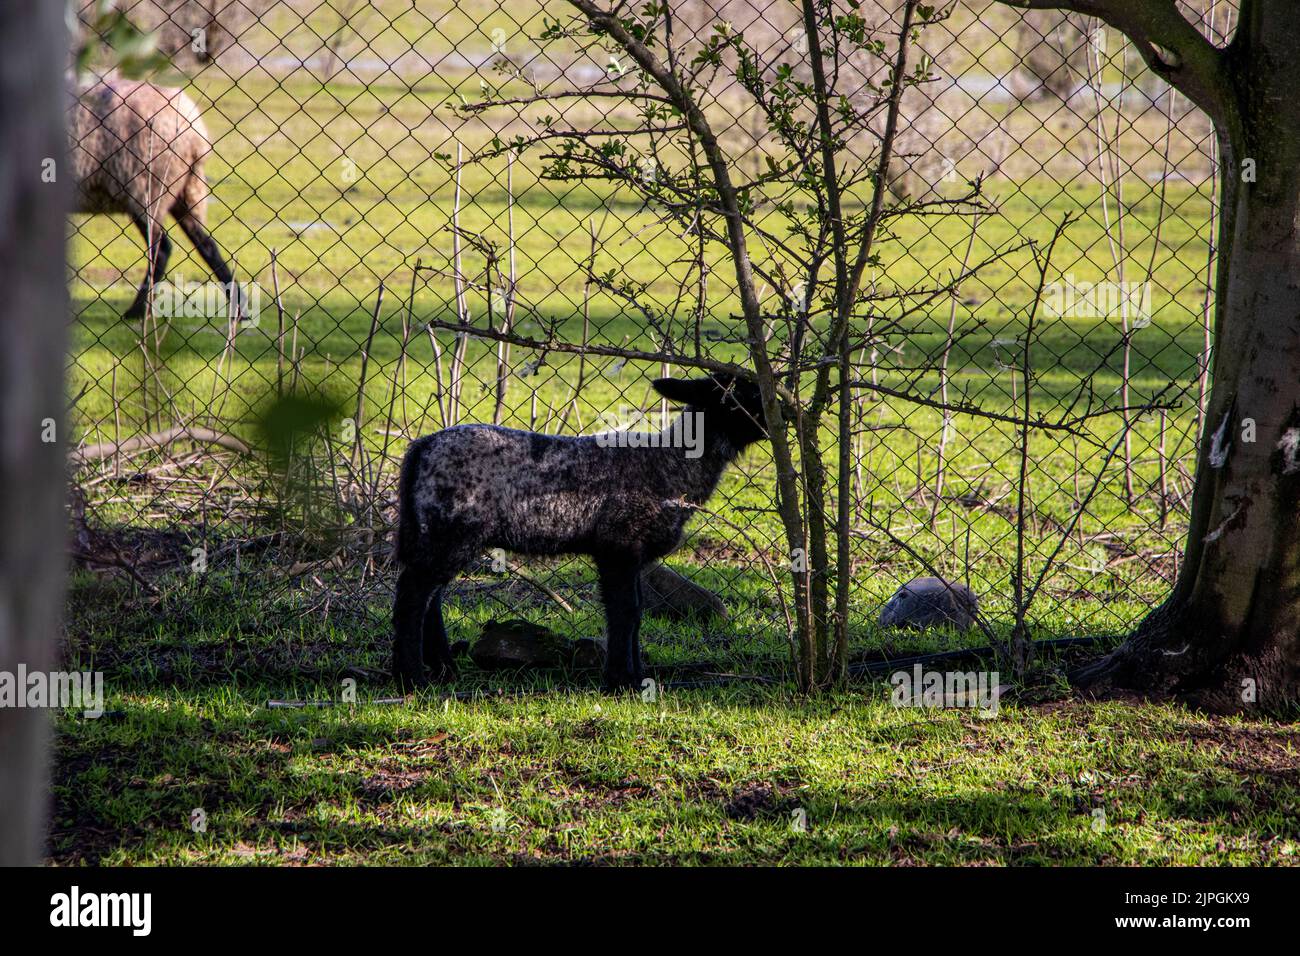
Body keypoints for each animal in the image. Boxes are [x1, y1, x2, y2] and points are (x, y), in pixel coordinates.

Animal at [71, 73, 238, 319]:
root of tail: (195, 133)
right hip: (185, 189)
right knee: (207, 245)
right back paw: (239, 309)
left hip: (146, 187)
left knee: (162, 249)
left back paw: (138, 311)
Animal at [392, 372, 770, 693]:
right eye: (738, 397)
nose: (774, 419)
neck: (670, 464)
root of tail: (422, 447)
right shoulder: (618, 546)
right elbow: (625, 611)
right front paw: (620, 681)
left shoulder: (632, 554)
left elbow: (635, 614)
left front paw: (636, 676)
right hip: (452, 528)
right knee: (413, 594)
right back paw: (411, 678)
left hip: (439, 532)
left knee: (430, 597)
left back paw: (443, 669)